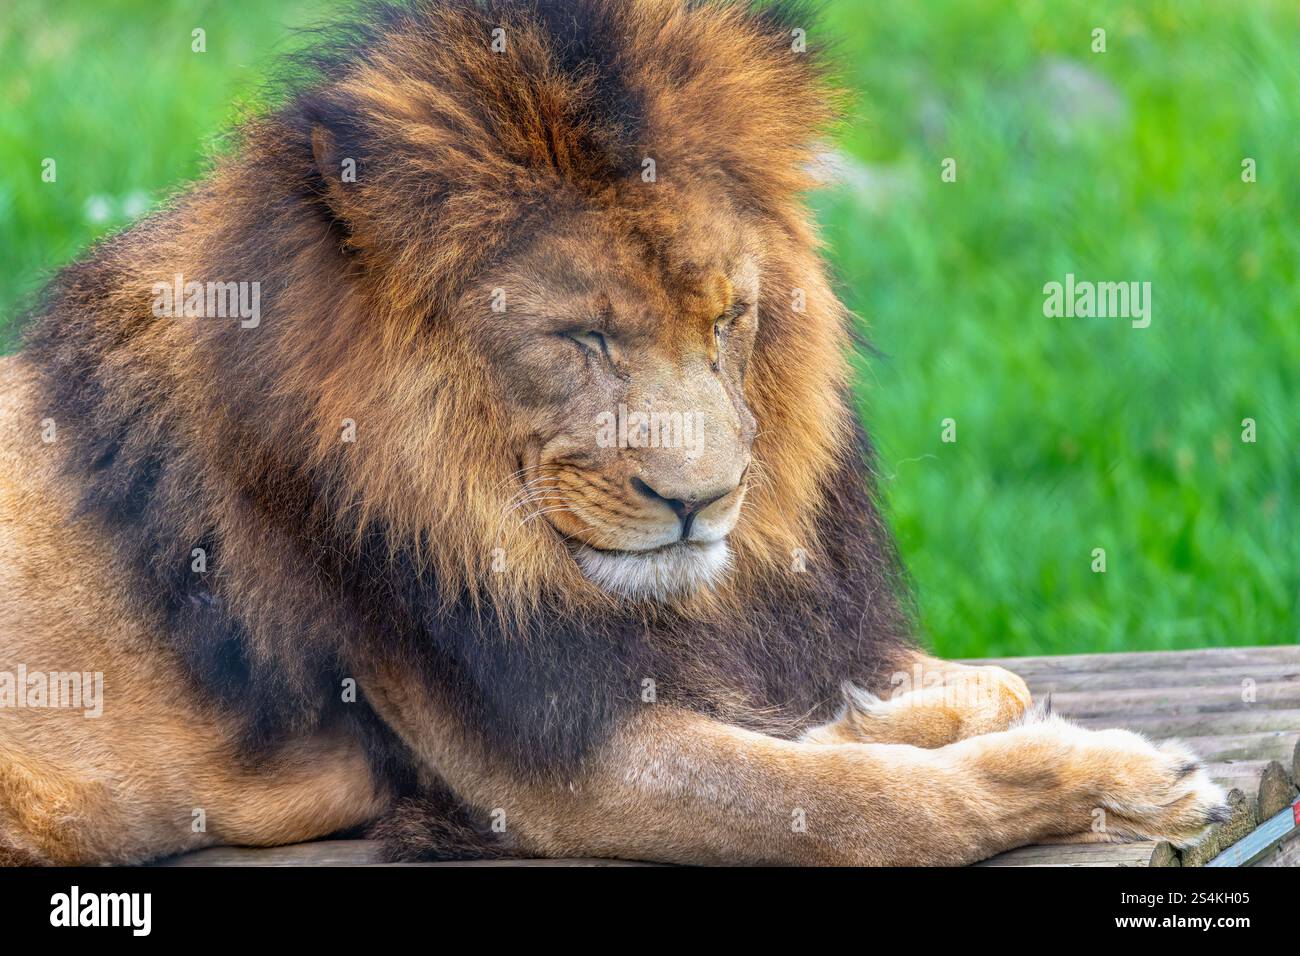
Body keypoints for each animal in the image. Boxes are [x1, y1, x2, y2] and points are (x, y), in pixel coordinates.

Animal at [0, 0, 1225, 866]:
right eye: (580, 337)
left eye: (729, 318)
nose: (701, 501)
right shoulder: (547, 770)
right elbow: (865, 808)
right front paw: (1124, 775)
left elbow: (958, 693)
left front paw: (880, 708)